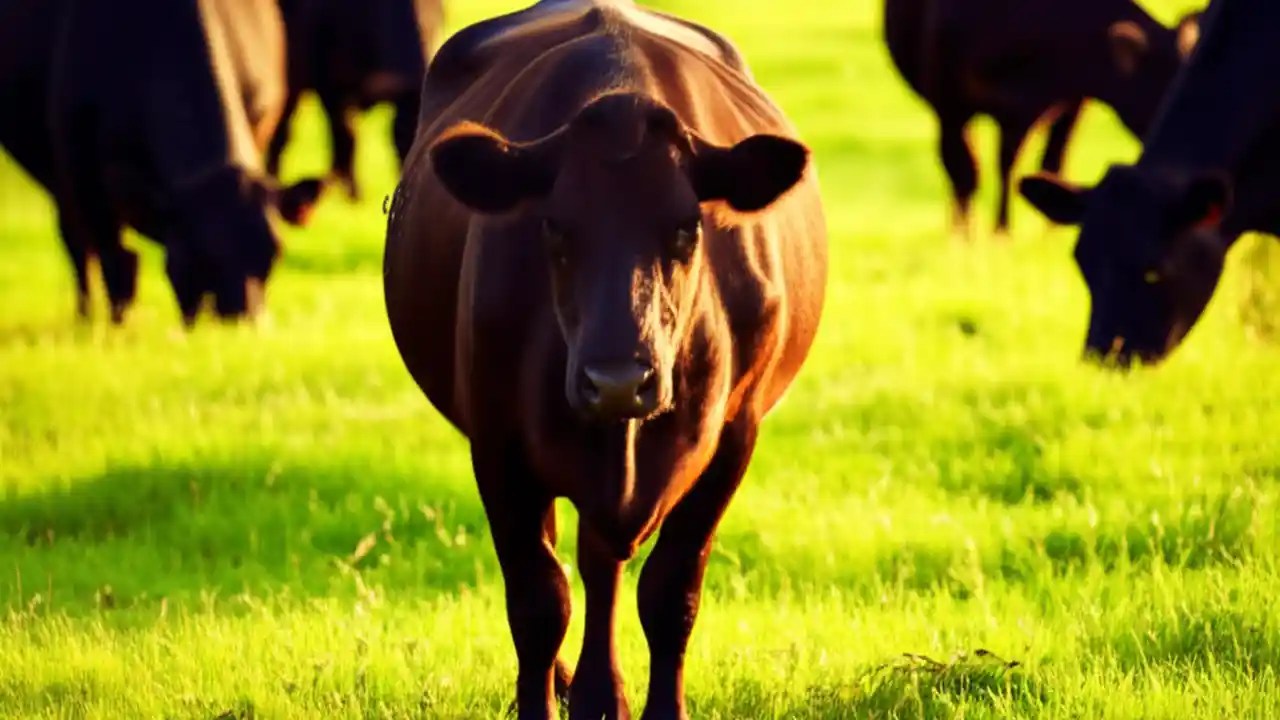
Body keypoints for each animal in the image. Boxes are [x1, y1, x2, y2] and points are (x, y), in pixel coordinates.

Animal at [0, 0, 323, 325]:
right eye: (202, 257)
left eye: (276, 252)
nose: (244, 323)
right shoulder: (82, 171)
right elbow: (116, 261)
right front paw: (119, 329)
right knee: (78, 245)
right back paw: (85, 318)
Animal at [382, 2, 828, 718]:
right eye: (554, 227)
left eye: (686, 228)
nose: (618, 383)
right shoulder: (498, 443)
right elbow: (538, 603)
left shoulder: (734, 437)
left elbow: (671, 593)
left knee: (602, 561)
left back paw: (601, 690)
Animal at [883, 0, 1201, 235]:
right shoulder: (949, 102)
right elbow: (967, 172)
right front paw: (973, 237)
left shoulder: (1068, 101)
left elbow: (1039, 167)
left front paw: (1041, 235)